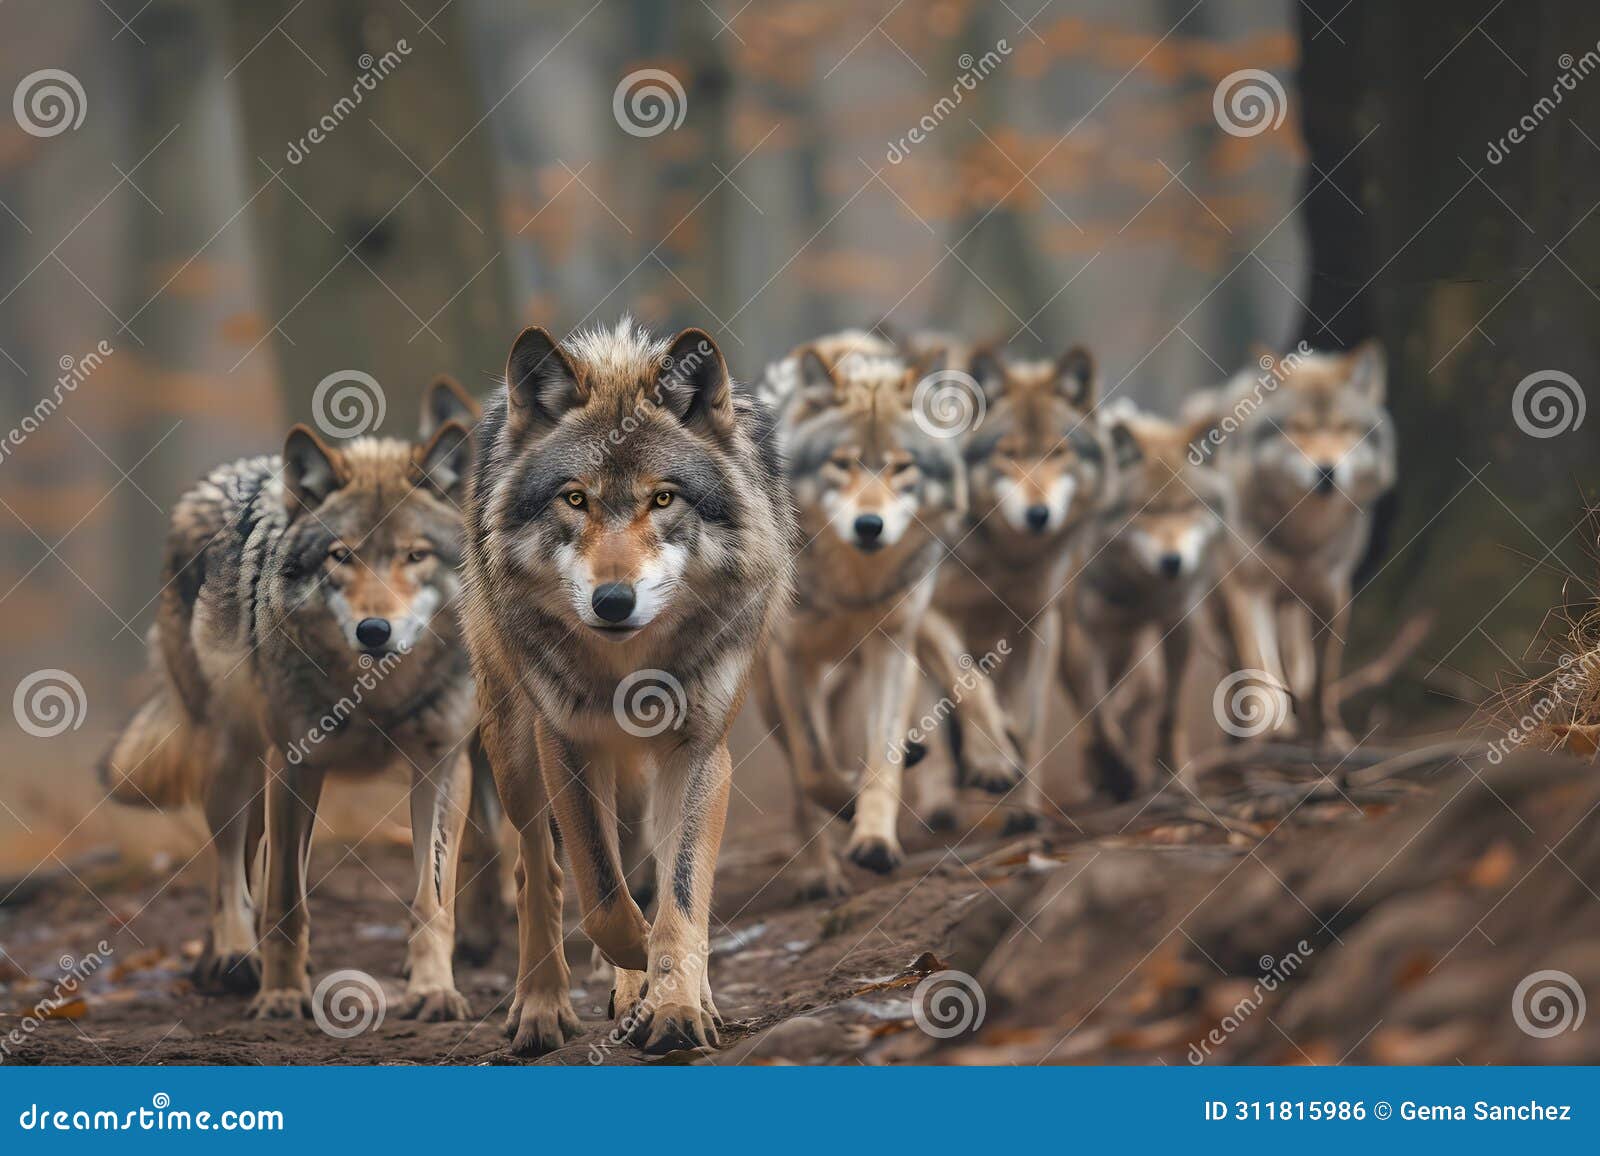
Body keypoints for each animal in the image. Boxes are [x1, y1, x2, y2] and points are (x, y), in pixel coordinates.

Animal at [101, 379, 485, 1021]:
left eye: (415, 555)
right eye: (341, 556)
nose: (374, 631)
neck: (374, 696)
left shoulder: (440, 768)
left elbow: (432, 902)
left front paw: (434, 989)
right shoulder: (295, 765)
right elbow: (285, 899)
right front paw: (281, 995)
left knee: (254, 857)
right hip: (234, 762)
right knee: (230, 866)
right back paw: (233, 959)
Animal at [463, 318, 793, 1056]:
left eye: (663, 497)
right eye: (575, 498)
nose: (613, 601)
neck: (631, 666)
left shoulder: (699, 751)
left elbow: (680, 894)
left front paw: (677, 1000)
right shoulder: (568, 744)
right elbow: (604, 896)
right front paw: (646, 971)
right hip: (515, 750)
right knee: (538, 869)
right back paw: (541, 1008)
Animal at [751, 332, 968, 892]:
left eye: (902, 466)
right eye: (843, 463)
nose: (870, 526)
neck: (853, 587)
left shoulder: (892, 648)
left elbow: (881, 759)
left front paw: (874, 840)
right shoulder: (790, 658)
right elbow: (813, 768)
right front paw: (847, 810)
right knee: (800, 775)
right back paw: (819, 875)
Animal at [1058, 405, 1232, 800]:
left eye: (1187, 506)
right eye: (1147, 510)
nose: (1172, 562)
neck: (1142, 591)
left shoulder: (1180, 624)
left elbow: (1170, 710)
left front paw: (1172, 774)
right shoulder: (1085, 634)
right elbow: (1096, 716)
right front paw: (1118, 774)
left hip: (1130, 654)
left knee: (1134, 699)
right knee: (1090, 713)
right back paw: (1097, 779)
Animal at [1191, 340, 1397, 744]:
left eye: (1343, 428)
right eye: (1298, 428)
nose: (1327, 471)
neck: (1302, 535)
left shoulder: (1332, 590)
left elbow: (1321, 675)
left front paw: (1329, 735)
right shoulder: (1249, 589)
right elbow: (1260, 667)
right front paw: (1273, 726)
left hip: (1292, 610)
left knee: (1298, 665)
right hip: (1217, 613)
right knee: (1236, 665)